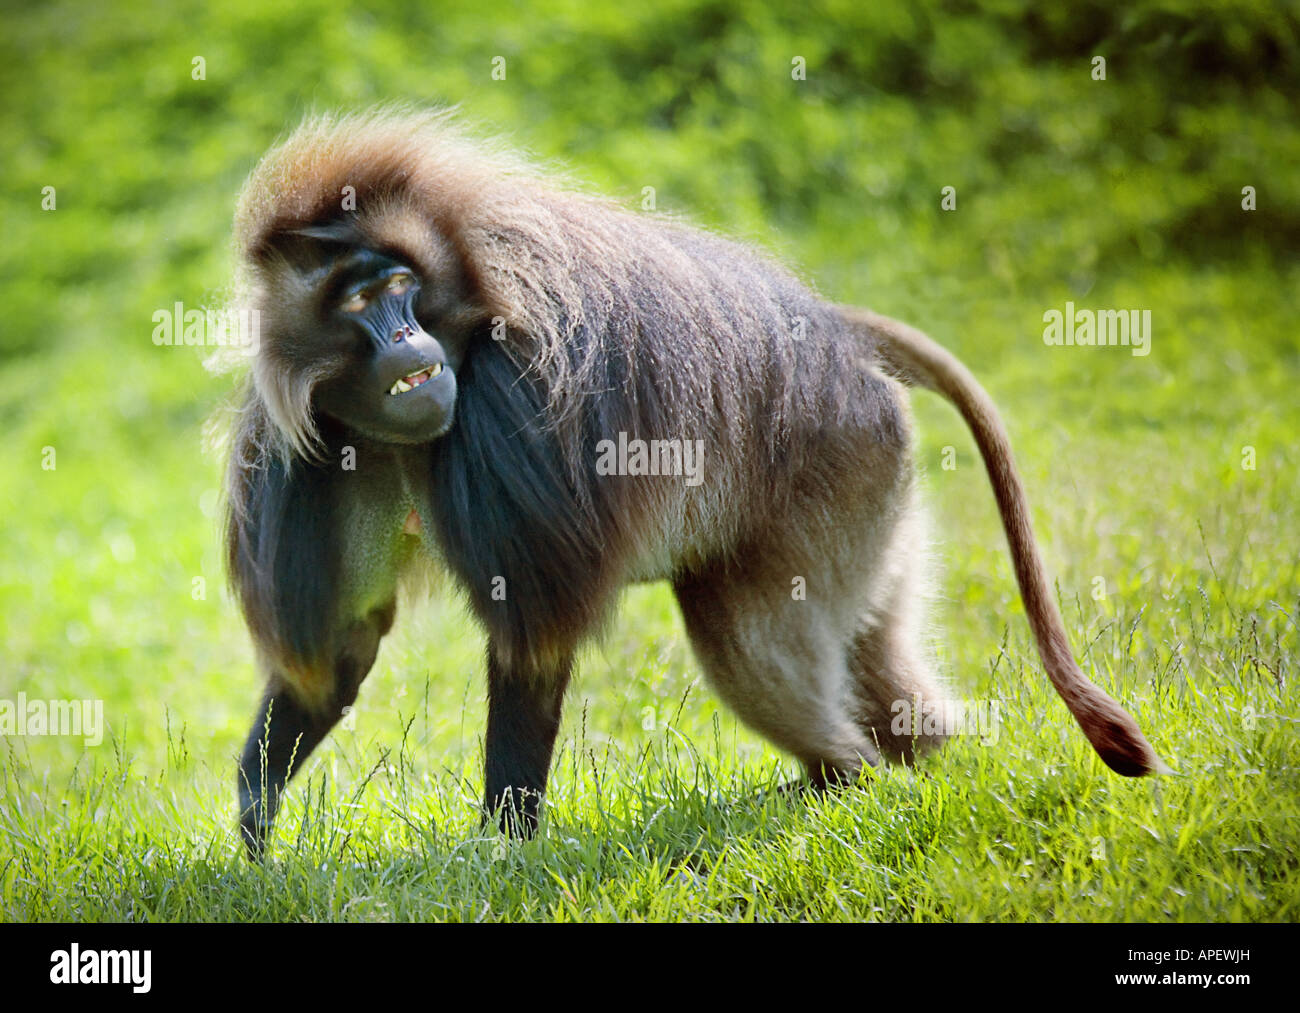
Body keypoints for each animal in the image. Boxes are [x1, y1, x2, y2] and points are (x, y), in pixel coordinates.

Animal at [224, 108, 1164, 859]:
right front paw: (254, 824)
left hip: (834, 461)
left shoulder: (511, 398)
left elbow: (532, 644)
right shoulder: (324, 446)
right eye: (356, 302)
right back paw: (927, 759)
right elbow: (348, 642)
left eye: (399, 286)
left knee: (743, 634)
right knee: (874, 647)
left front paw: (500, 851)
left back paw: (841, 783)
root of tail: (835, 333)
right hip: (880, 494)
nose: (405, 344)